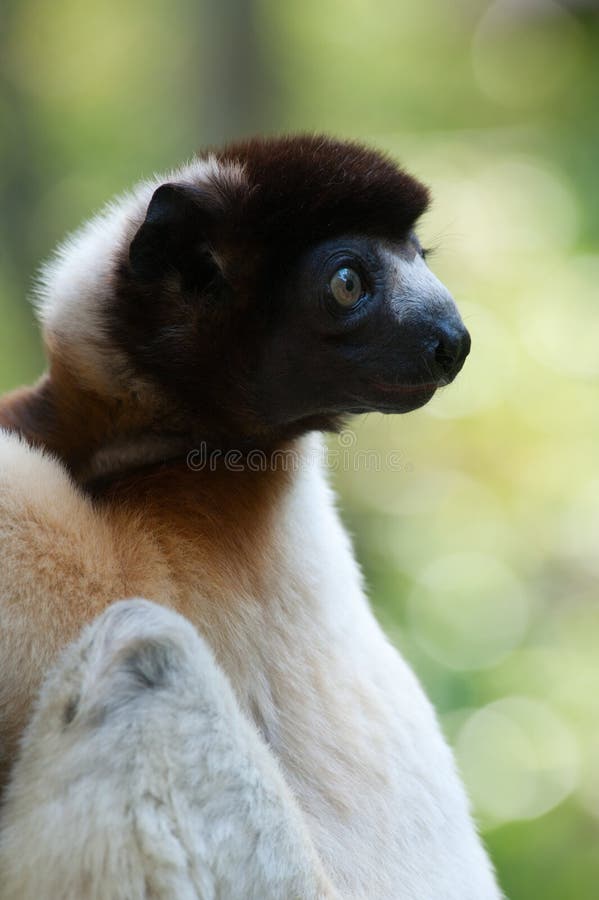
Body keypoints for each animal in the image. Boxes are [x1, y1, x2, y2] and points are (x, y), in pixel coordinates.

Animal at [0, 135, 501, 899]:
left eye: (418, 258)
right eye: (349, 284)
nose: (452, 340)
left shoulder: (216, 513)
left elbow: (107, 597)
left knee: (143, 653)